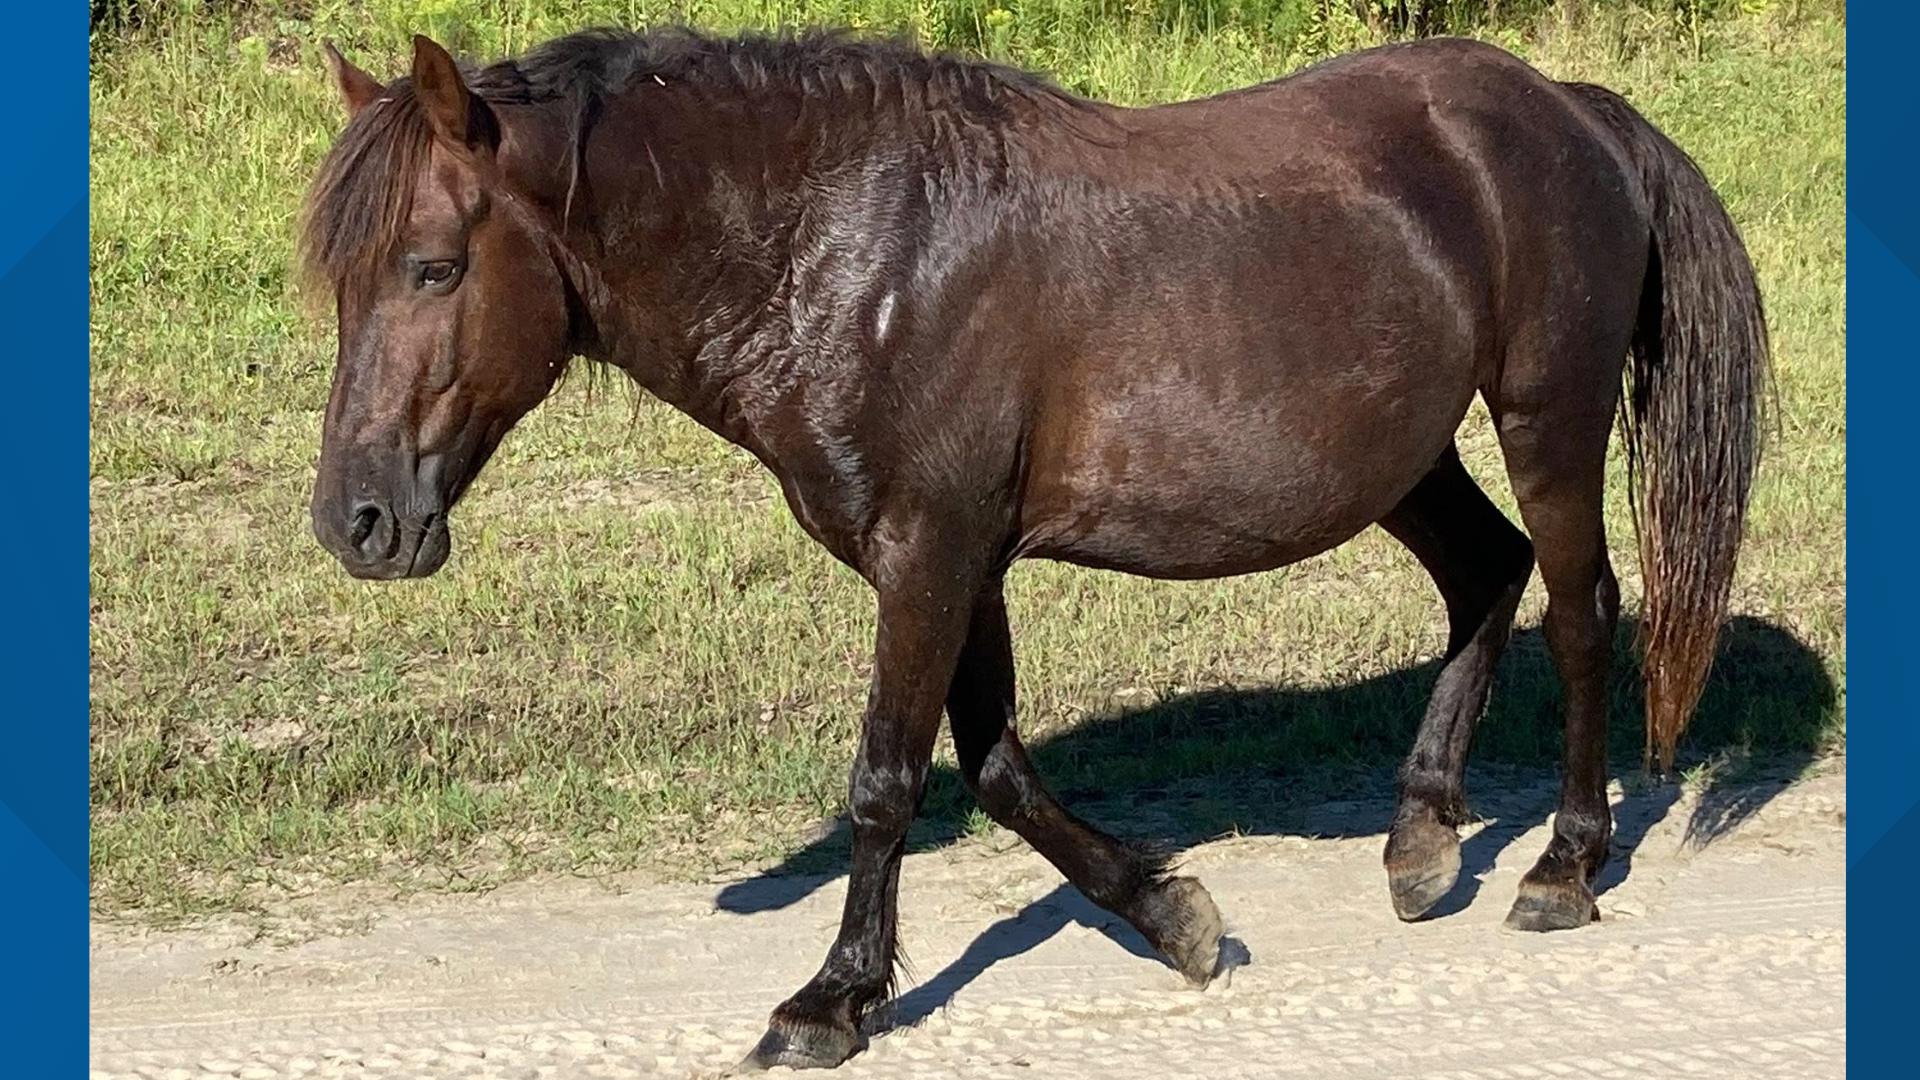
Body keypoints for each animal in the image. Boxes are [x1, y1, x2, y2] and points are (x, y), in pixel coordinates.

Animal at [302, 27, 1767, 1069]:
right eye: (343, 280)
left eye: (433, 266)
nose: (355, 523)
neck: (850, 249)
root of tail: (1569, 109)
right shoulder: (960, 560)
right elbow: (998, 768)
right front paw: (1174, 918)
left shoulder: (931, 553)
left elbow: (888, 780)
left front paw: (830, 1001)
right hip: (1399, 455)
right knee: (1483, 577)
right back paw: (1419, 841)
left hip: (1547, 416)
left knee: (1579, 610)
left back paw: (1563, 867)